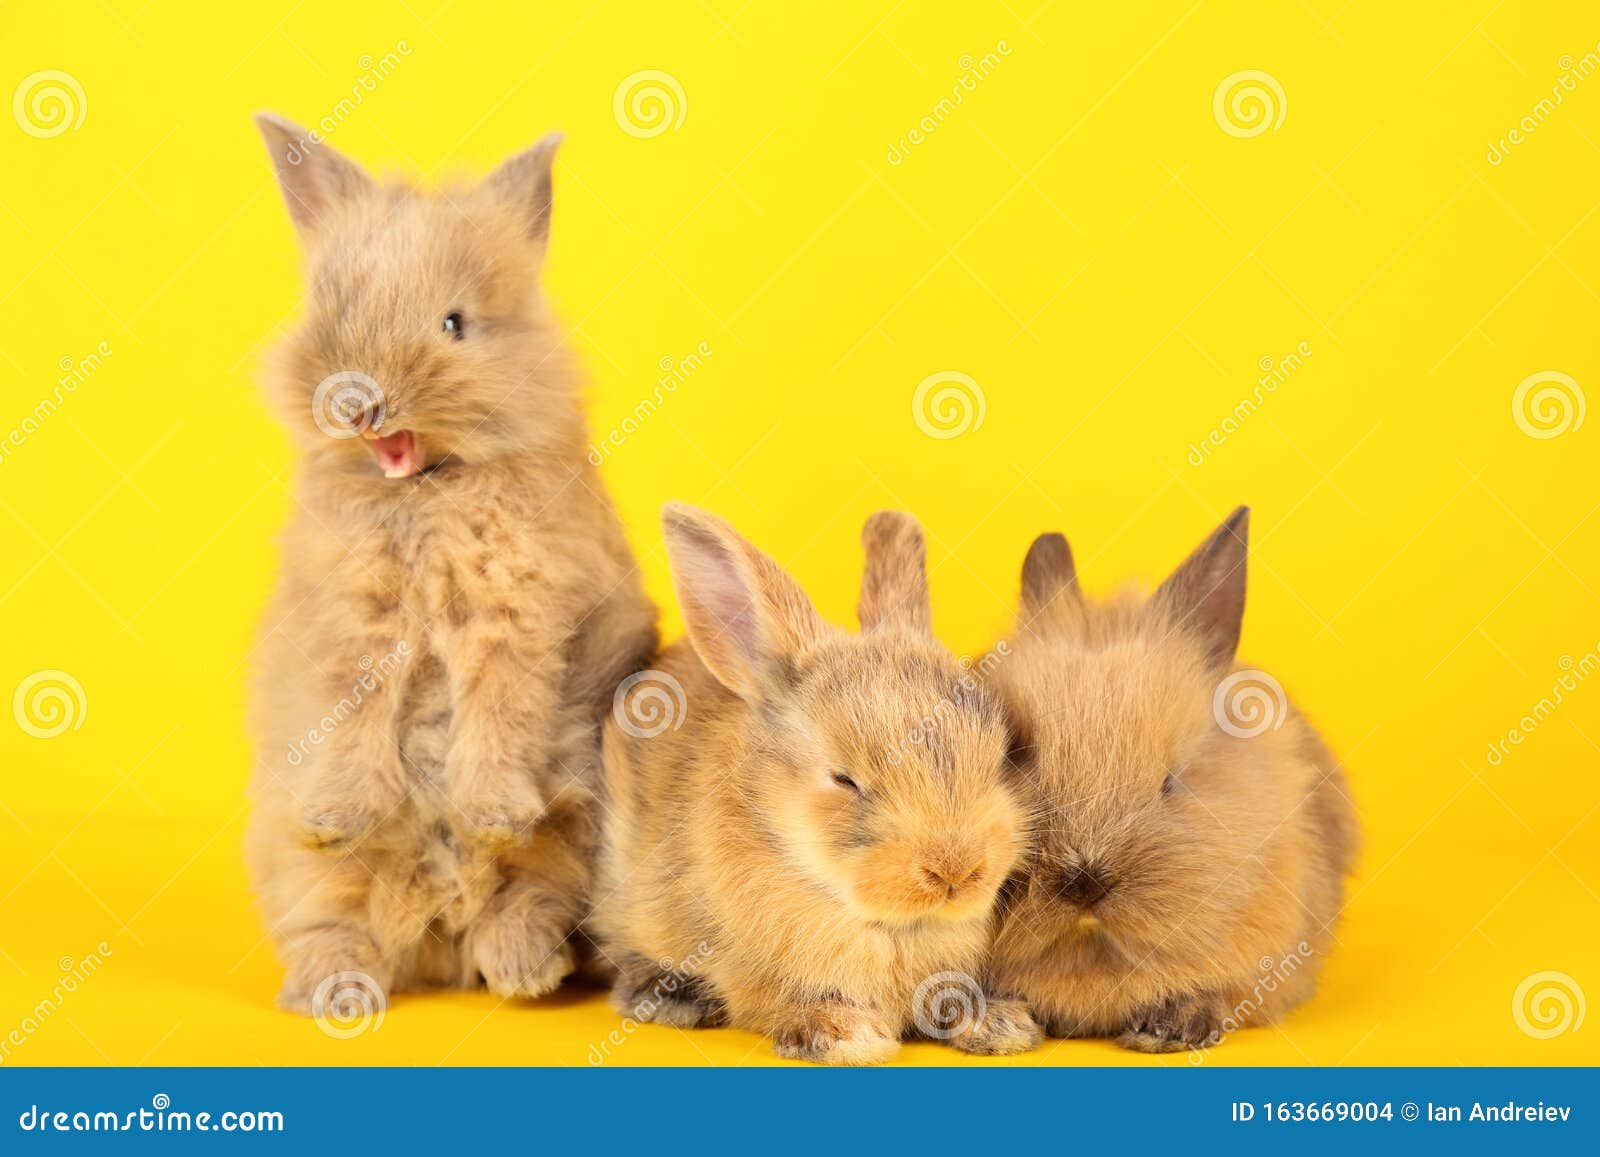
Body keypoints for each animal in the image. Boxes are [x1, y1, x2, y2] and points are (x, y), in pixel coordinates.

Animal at [244, 114, 657, 1015]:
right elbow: (353, 719)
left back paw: (523, 966)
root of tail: (440, 931)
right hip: (299, 871)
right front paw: (336, 812)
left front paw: (490, 812)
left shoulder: (512, 622)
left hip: (572, 836)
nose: (360, 403)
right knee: (333, 924)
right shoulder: (356, 631)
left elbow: (500, 713)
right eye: (334, 307)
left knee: (528, 897)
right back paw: (338, 991)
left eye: (455, 325)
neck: (426, 495)